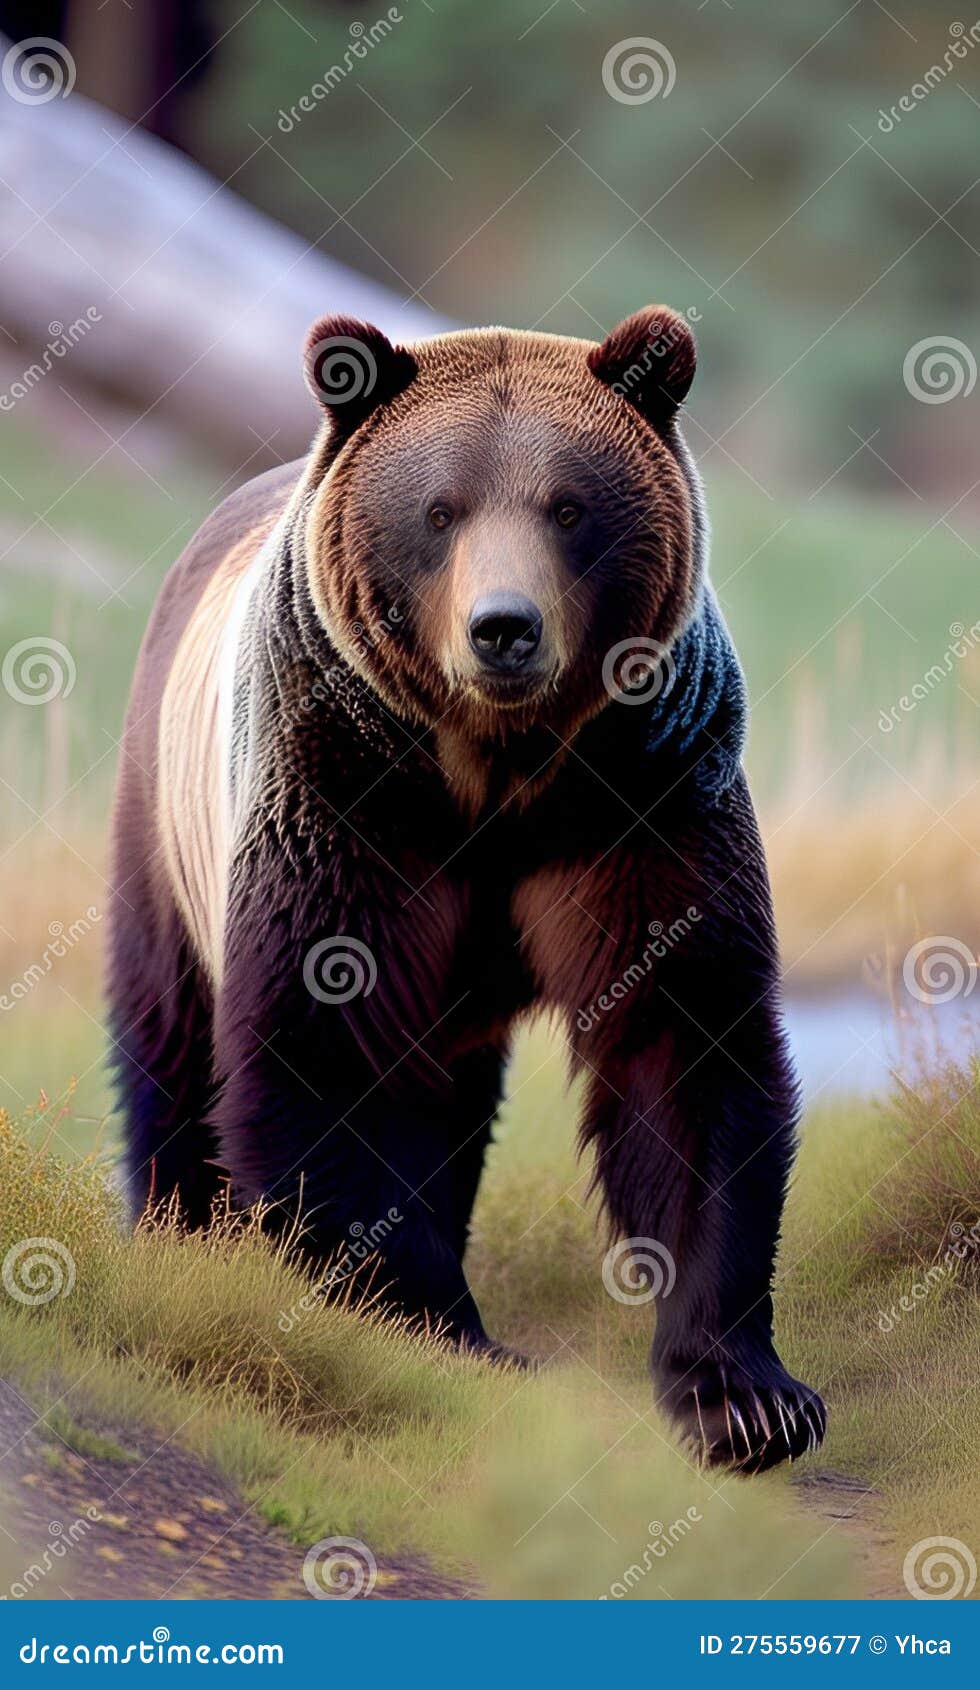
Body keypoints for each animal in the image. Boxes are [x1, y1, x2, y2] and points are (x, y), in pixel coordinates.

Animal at [106, 305, 826, 1472]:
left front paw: (745, 1396)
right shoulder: (344, 794)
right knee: (171, 1037)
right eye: (438, 510)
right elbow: (330, 1043)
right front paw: (428, 1327)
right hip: (166, 816)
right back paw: (179, 1236)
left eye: (568, 507)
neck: (495, 773)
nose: (503, 627)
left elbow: (685, 1036)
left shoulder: (644, 791)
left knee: (451, 1095)